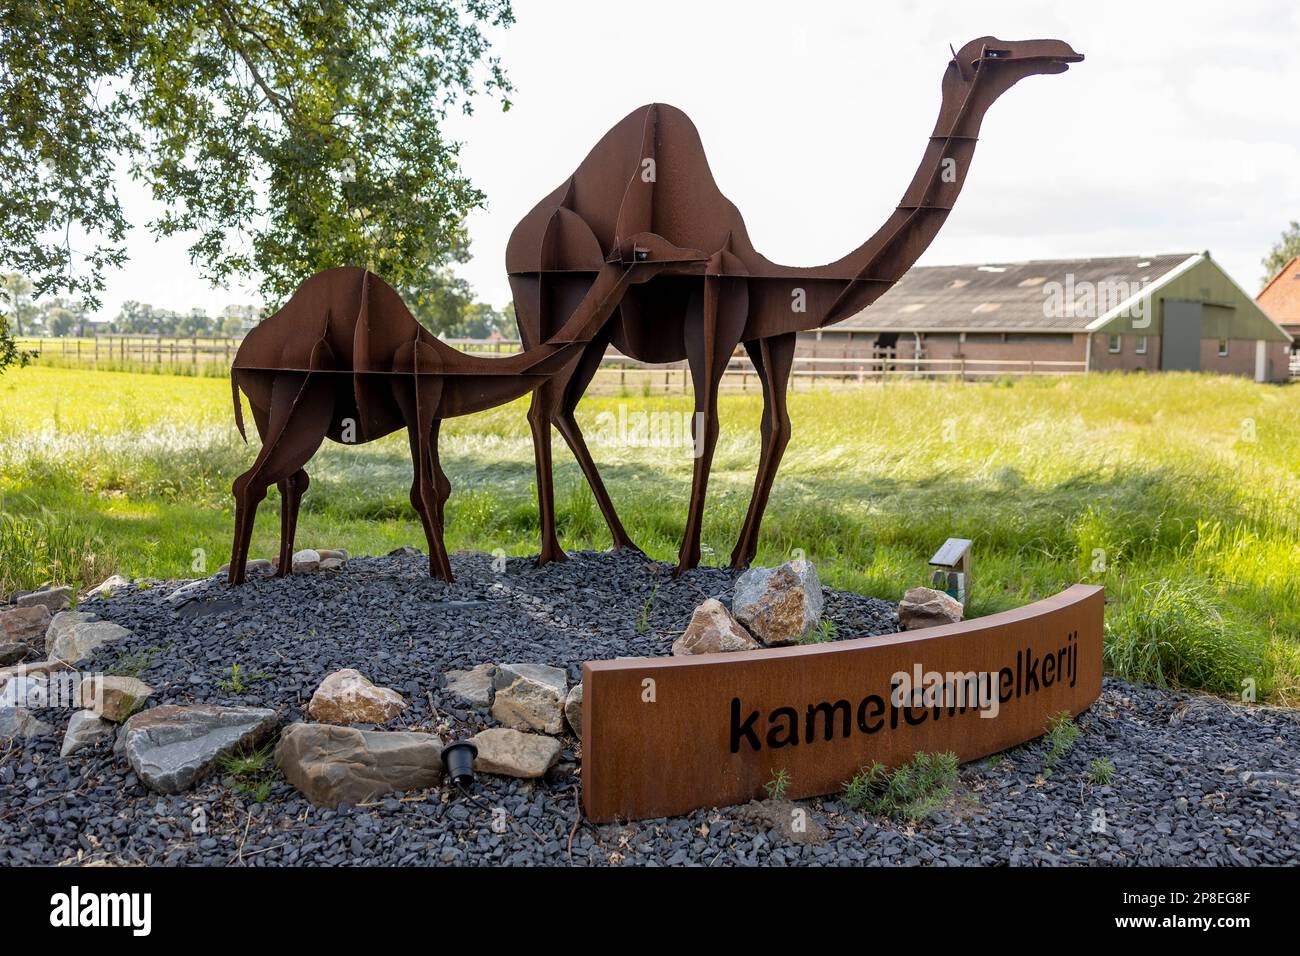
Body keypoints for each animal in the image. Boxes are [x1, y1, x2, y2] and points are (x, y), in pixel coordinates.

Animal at [227, 249, 692, 584]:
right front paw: (449, 580)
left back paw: (282, 572)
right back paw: (235, 582)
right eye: (645, 253)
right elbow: (423, 491)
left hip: (269, 406)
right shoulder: (419, 387)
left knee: (290, 479)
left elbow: (438, 489)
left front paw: (437, 573)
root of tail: (238, 357)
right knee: (251, 481)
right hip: (299, 387)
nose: (691, 259)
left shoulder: (432, 413)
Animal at [507, 37, 1082, 574]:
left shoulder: (774, 331)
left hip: (593, 330)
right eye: (992, 52)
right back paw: (553, 552)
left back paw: (624, 544)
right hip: (544, 292)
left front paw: (740, 558)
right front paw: (687, 561)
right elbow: (706, 422)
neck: (787, 276)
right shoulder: (716, 306)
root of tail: (518, 240)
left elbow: (777, 426)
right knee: (541, 401)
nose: (1065, 53)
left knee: (559, 406)